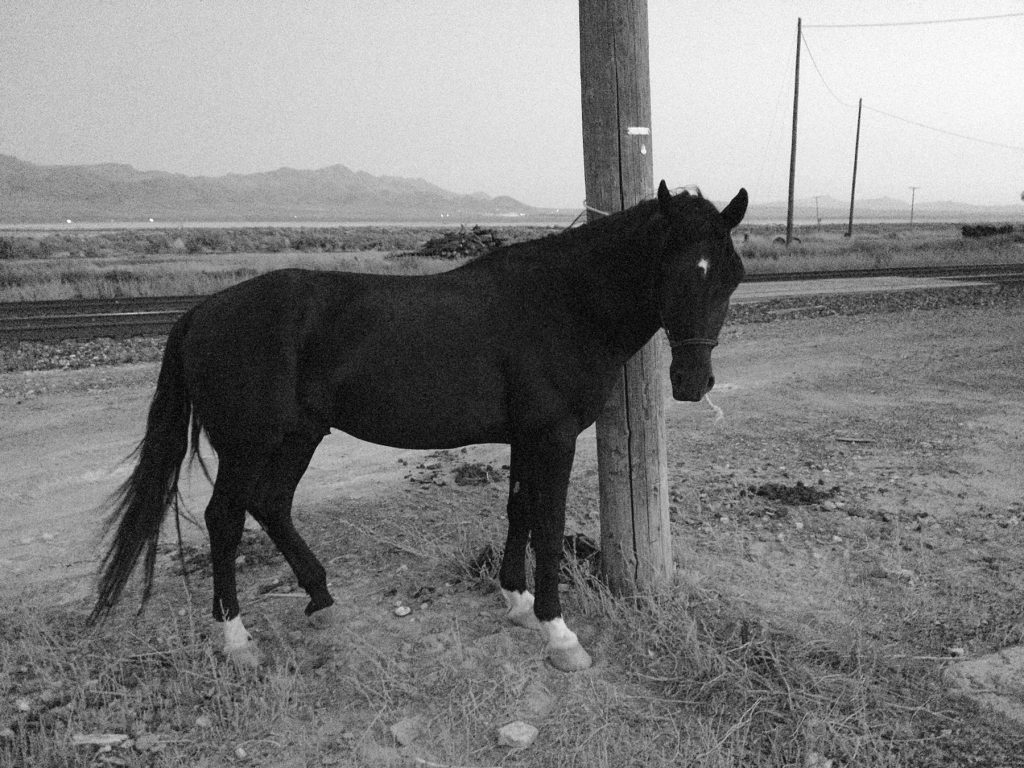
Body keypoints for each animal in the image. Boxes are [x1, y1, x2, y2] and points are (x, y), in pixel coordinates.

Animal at [90, 181, 748, 672]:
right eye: (677, 271)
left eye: (732, 275)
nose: (692, 381)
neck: (565, 303)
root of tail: (202, 311)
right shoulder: (554, 437)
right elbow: (548, 523)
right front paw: (559, 633)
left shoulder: (525, 437)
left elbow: (519, 511)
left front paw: (516, 599)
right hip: (248, 446)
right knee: (225, 520)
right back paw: (237, 640)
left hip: (299, 437)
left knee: (271, 504)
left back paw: (321, 599)